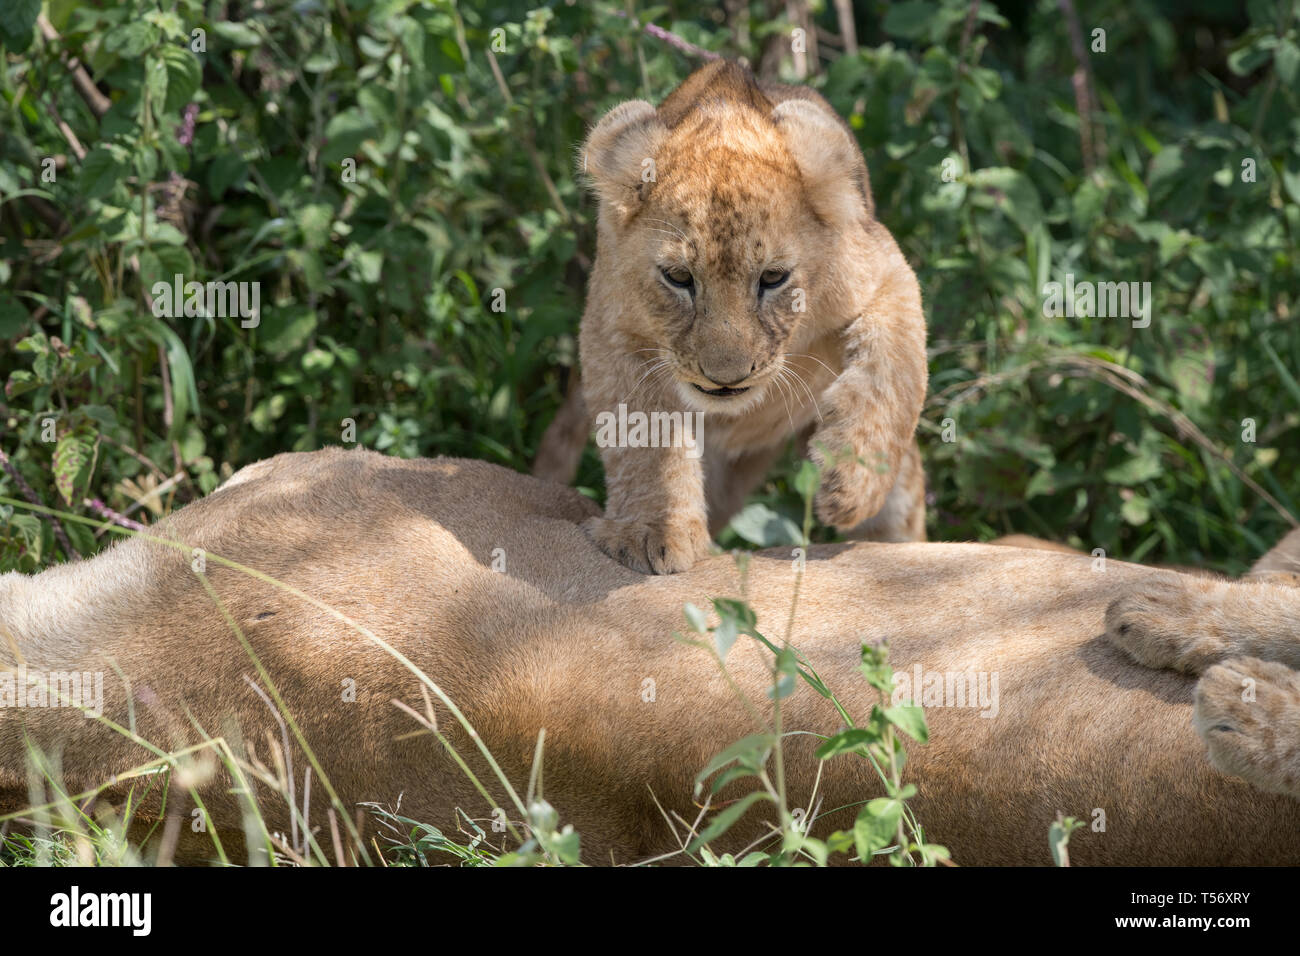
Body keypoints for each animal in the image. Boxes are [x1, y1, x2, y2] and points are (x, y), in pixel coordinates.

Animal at [545, 60, 928, 574]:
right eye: (678, 277)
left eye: (773, 278)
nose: (725, 378)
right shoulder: (611, 328)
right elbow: (644, 439)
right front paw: (653, 531)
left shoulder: (884, 270)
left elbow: (892, 373)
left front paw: (851, 484)